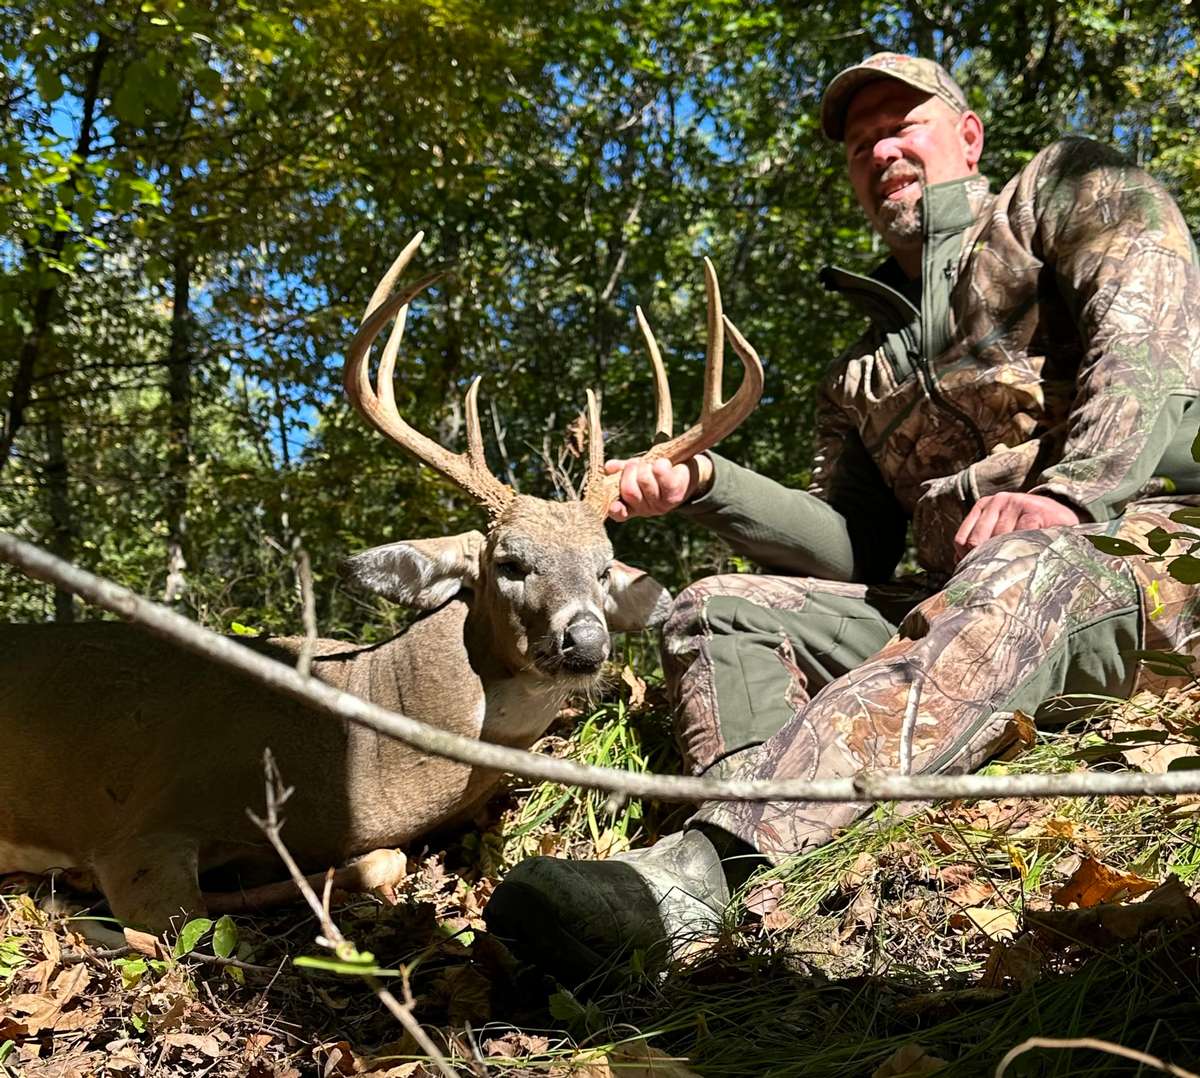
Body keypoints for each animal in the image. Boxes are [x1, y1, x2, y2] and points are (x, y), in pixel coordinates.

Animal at [0, 233, 763, 933]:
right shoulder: (142, 830)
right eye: (510, 563)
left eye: (604, 568)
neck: (357, 733)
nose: (586, 642)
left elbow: (380, 860)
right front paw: (73, 901)